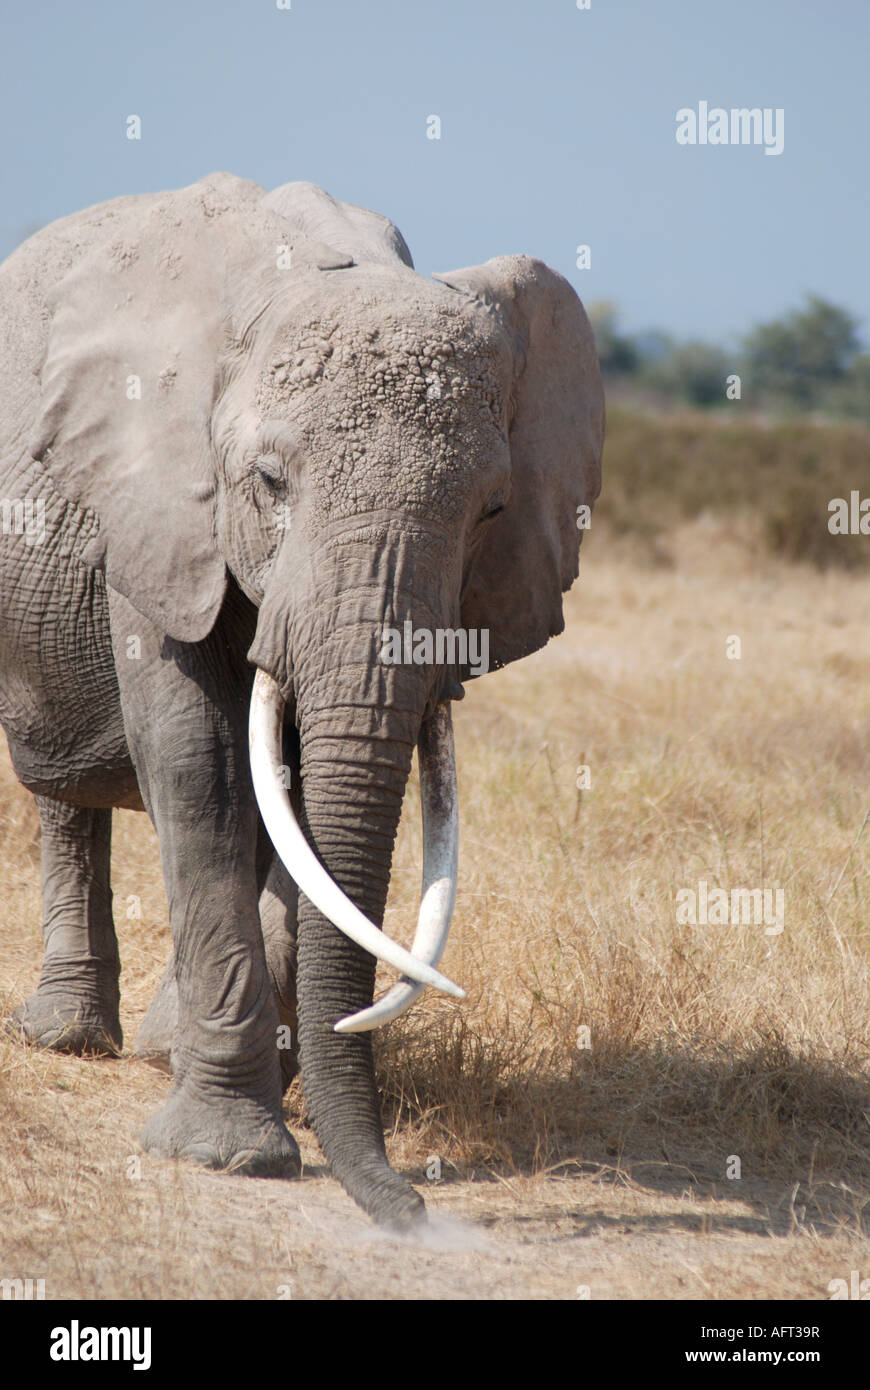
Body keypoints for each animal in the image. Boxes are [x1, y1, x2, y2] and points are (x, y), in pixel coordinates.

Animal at [0, 173, 604, 1228]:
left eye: (491, 510)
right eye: (269, 481)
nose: (416, 1213)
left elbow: (294, 805)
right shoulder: (160, 517)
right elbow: (199, 769)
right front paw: (227, 1157)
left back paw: (159, 1046)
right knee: (66, 792)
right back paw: (66, 1039)